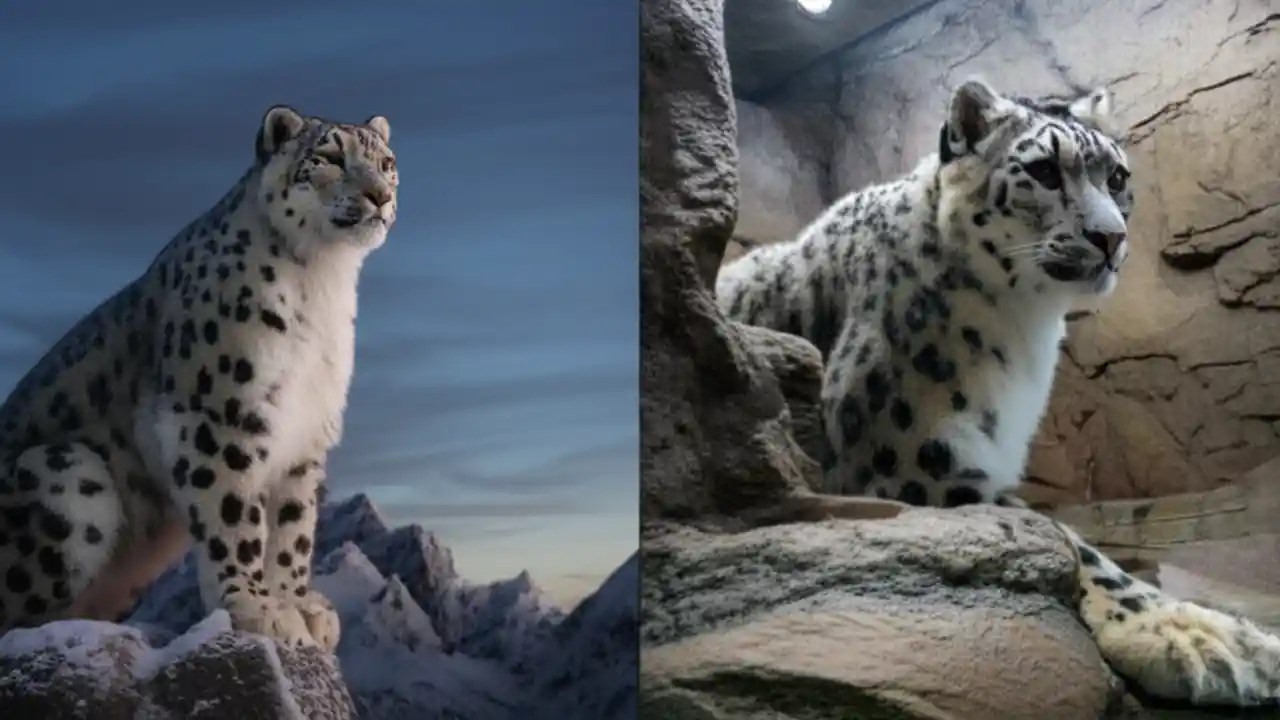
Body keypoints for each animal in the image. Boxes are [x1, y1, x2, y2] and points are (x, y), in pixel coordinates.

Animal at [0, 105, 398, 652]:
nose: (380, 195)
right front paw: (255, 607)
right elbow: (234, 514)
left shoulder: (307, 432)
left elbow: (294, 527)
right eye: (331, 157)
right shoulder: (219, 414)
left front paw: (299, 605)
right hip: (70, 474)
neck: (321, 283)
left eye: (386, 163)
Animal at [716, 78, 1280, 706]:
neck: (1023, 327)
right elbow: (1063, 540)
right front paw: (1209, 637)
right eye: (1044, 170)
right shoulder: (909, 462)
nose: (1110, 237)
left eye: (1116, 176)